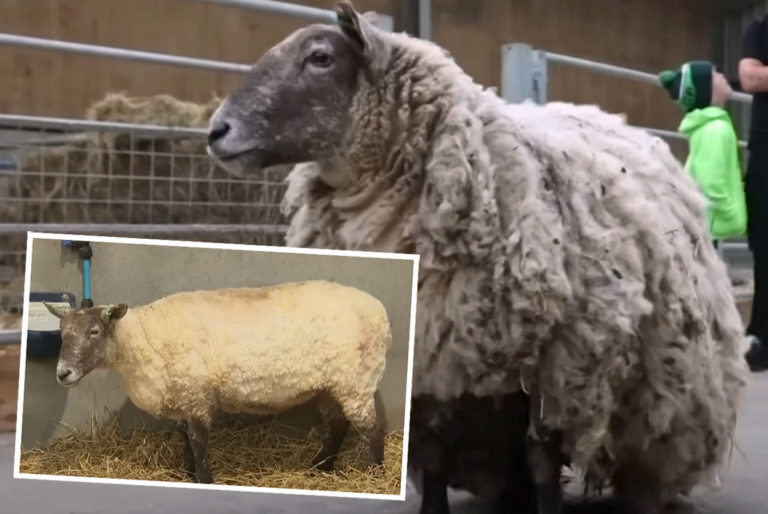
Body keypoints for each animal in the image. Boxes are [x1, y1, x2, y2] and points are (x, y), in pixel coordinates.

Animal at [43, 279, 393, 484]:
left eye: (94, 332)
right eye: (62, 333)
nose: (63, 373)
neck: (142, 338)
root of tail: (380, 311)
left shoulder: (196, 395)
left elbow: (198, 441)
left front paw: (204, 478)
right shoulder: (182, 394)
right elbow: (184, 438)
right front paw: (187, 473)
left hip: (356, 380)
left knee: (372, 431)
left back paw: (375, 476)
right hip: (330, 386)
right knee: (337, 426)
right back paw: (318, 469)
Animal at [205, 2, 749, 511]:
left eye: (320, 57)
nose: (216, 131)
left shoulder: (549, 361)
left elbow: (540, 454)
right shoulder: (434, 354)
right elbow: (435, 448)